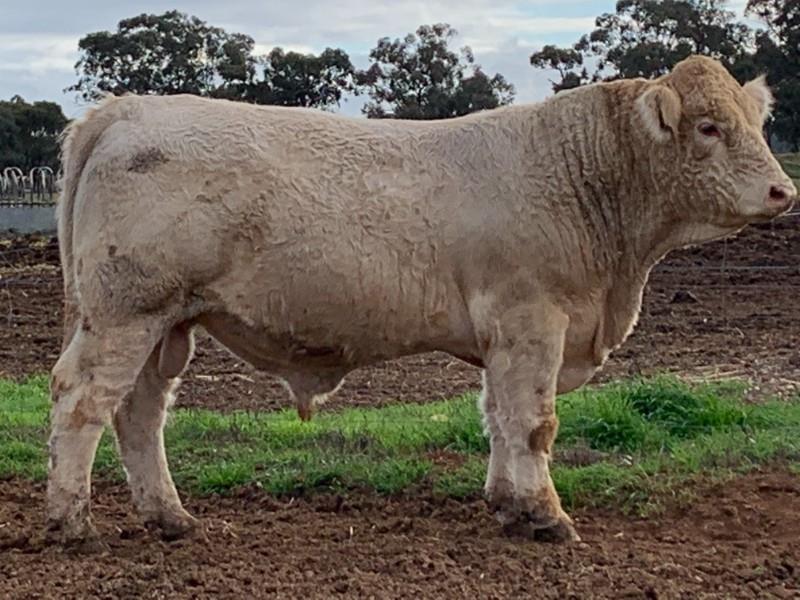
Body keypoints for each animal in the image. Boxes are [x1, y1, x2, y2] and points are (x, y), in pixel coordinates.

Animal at [47, 55, 796, 547]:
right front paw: (548, 516)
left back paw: (169, 518)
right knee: (80, 400)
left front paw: (507, 505)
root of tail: (125, 108)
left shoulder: (506, 337)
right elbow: (533, 422)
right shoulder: (532, 319)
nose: (782, 192)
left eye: (755, 124)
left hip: (165, 323)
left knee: (139, 413)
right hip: (124, 312)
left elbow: (498, 417)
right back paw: (72, 523)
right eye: (708, 127)